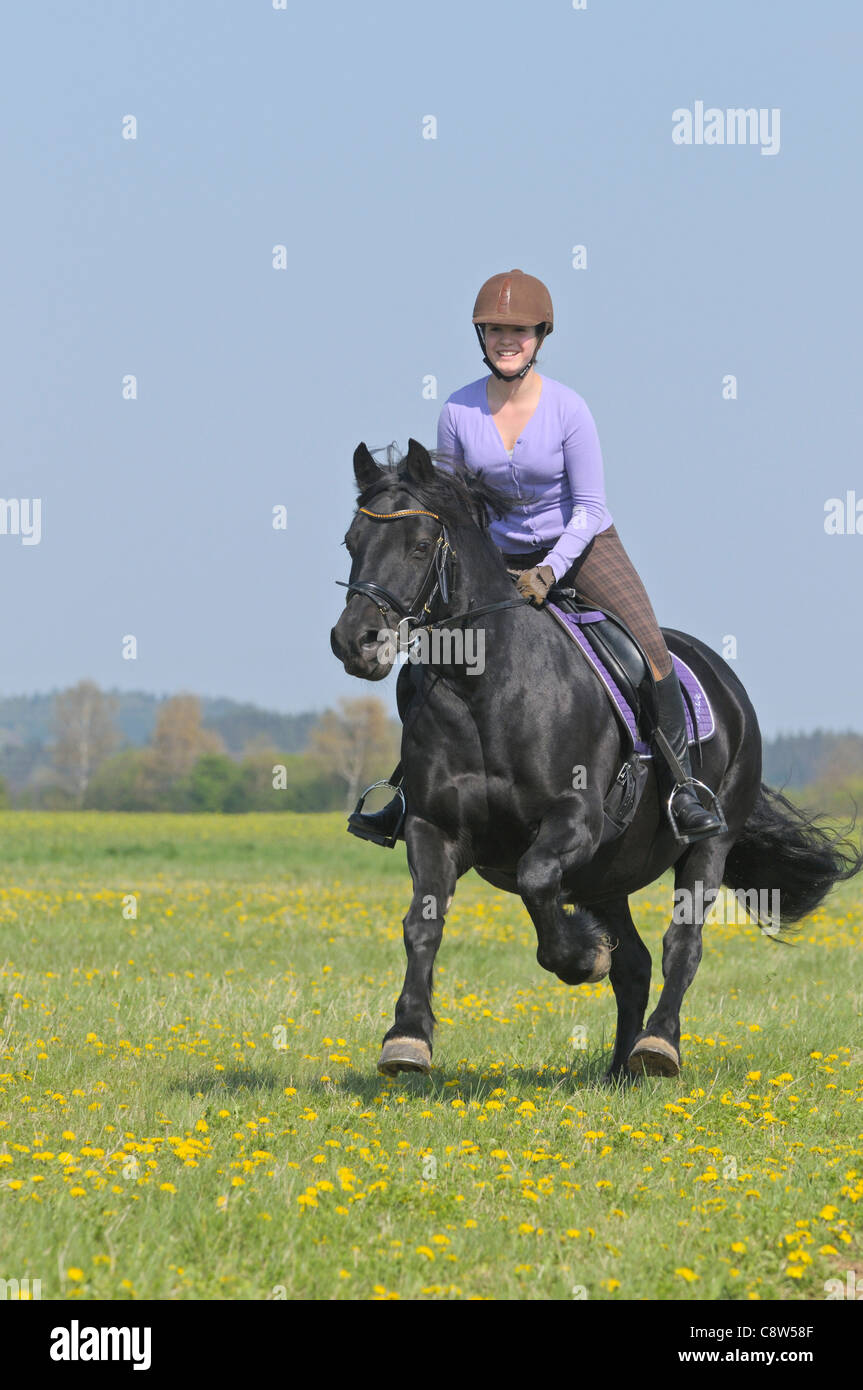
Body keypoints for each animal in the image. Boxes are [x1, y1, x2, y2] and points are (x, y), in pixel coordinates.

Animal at [330, 439, 863, 1083]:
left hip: (706, 842)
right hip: (606, 872)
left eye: (417, 545)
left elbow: (537, 881)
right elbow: (422, 923)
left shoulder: (574, 821)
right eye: (352, 542)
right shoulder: (434, 827)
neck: (482, 688)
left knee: (682, 944)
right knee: (635, 962)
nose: (355, 642)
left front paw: (583, 957)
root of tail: (724, 681)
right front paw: (407, 1038)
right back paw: (619, 1070)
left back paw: (657, 1047)